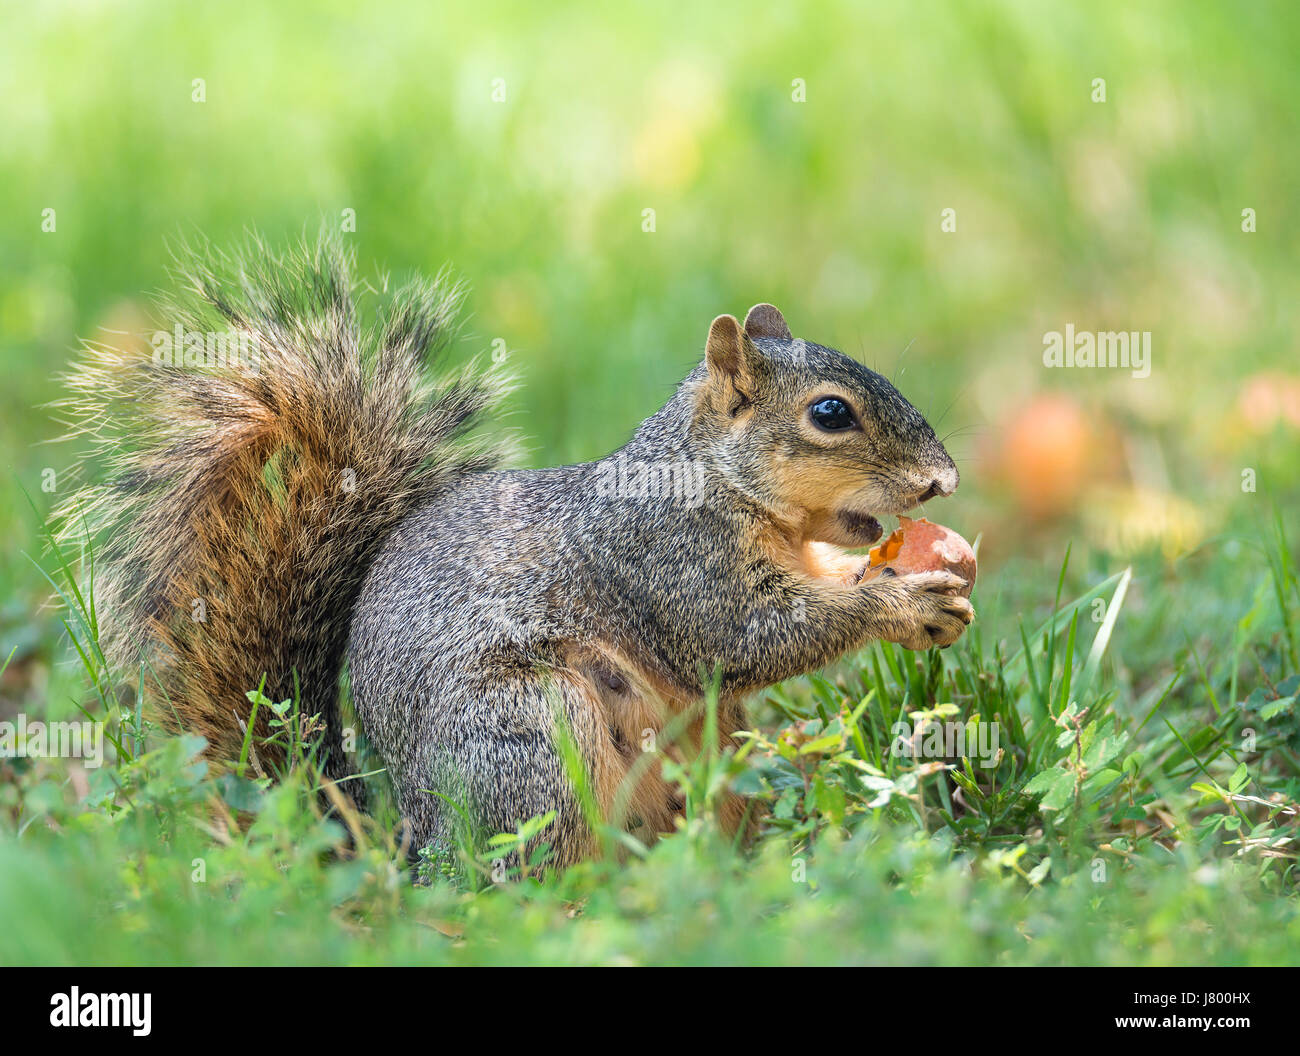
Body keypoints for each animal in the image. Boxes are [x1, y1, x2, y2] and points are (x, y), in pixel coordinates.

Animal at [58, 234, 973, 868]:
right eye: (830, 414)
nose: (944, 479)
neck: (711, 477)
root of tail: (409, 841)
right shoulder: (665, 558)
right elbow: (744, 639)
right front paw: (904, 601)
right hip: (531, 737)